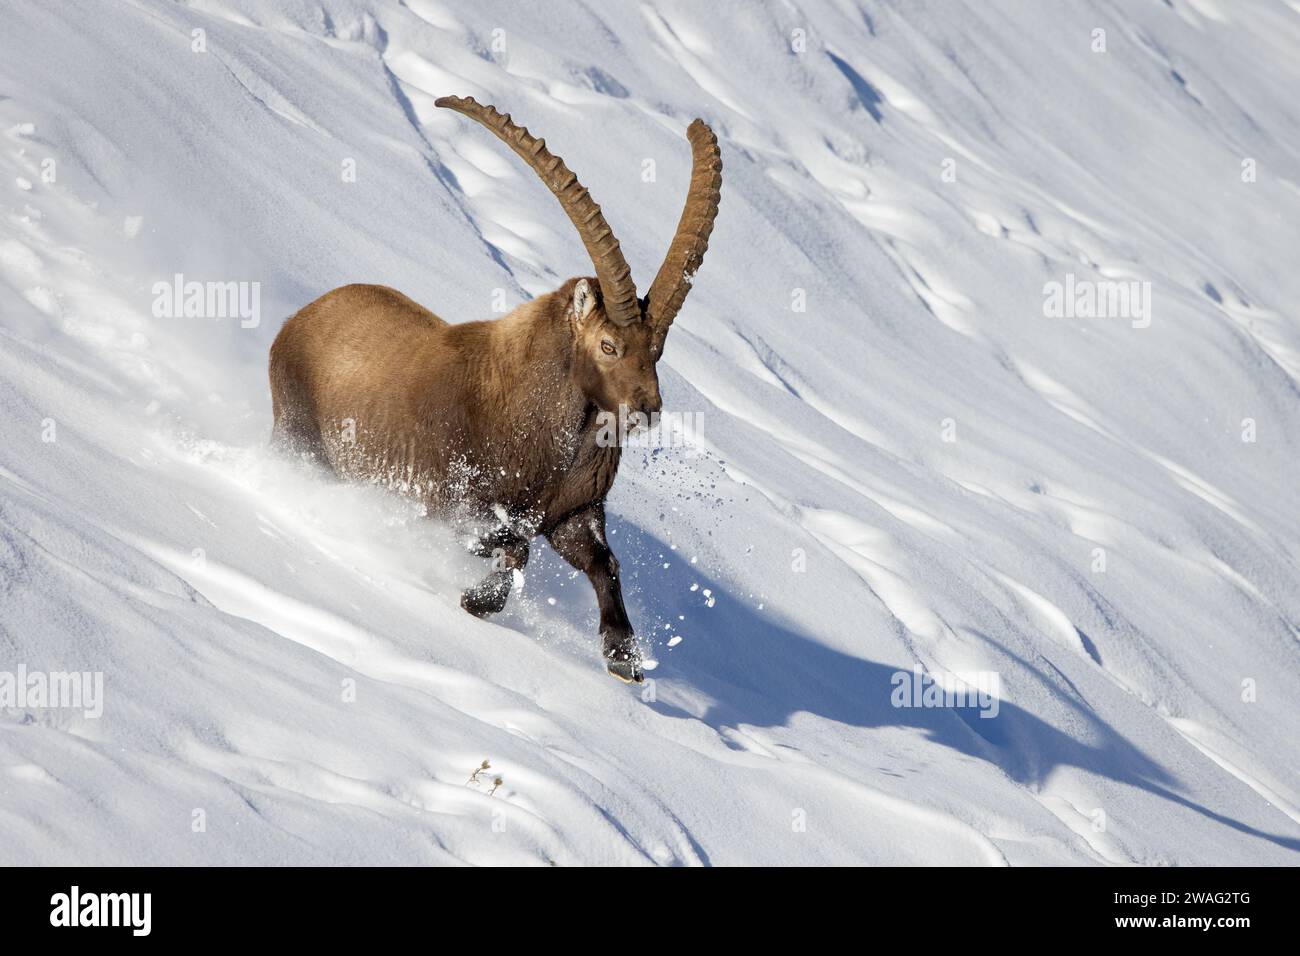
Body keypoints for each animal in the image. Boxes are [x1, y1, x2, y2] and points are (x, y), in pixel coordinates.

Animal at [268, 96, 722, 682]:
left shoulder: (572, 512)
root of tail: (300, 318)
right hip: (297, 435)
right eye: (608, 345)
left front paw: (623, 657)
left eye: (657, 349)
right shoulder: (450, 496)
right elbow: (511, 546)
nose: (646, 409)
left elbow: (603, 562)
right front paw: (477, 599)